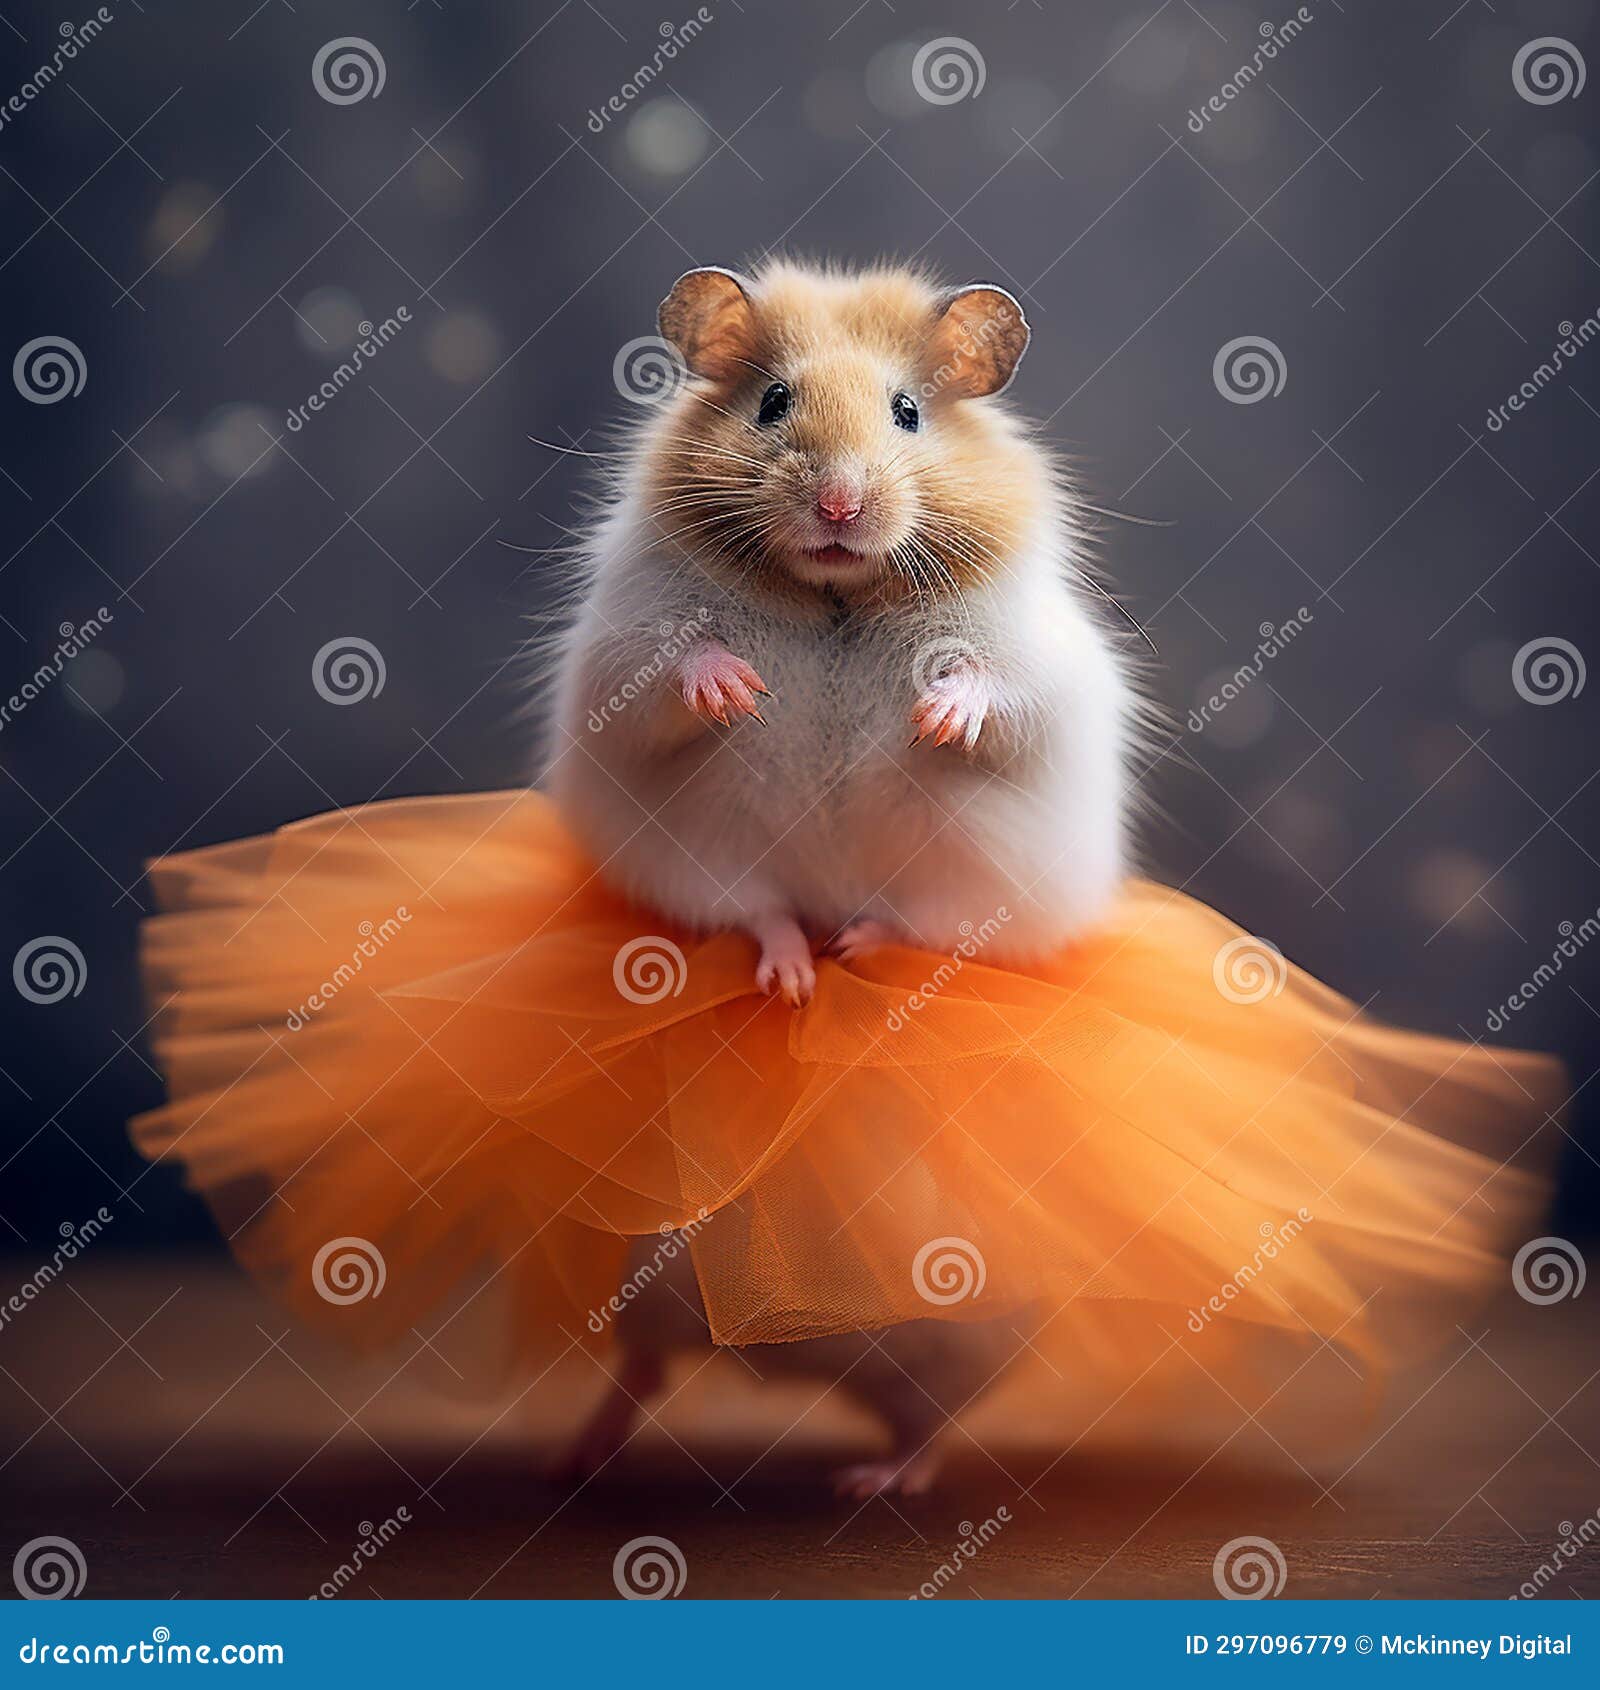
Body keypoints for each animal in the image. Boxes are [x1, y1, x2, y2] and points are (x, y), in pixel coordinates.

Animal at [545, 259, 1139, 1008]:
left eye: (908, 411)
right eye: (773, 401)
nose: (838, 505)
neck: (836, 597)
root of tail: (831, 901)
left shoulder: (1035, 651)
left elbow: (991, 680)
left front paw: (936, 720)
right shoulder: (626, 631)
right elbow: (671, 662)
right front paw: (738, 692)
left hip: (978, 889)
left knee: (916, 930)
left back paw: (856, 947)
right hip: (696, 862)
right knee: (763, 916)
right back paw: (795, 979)